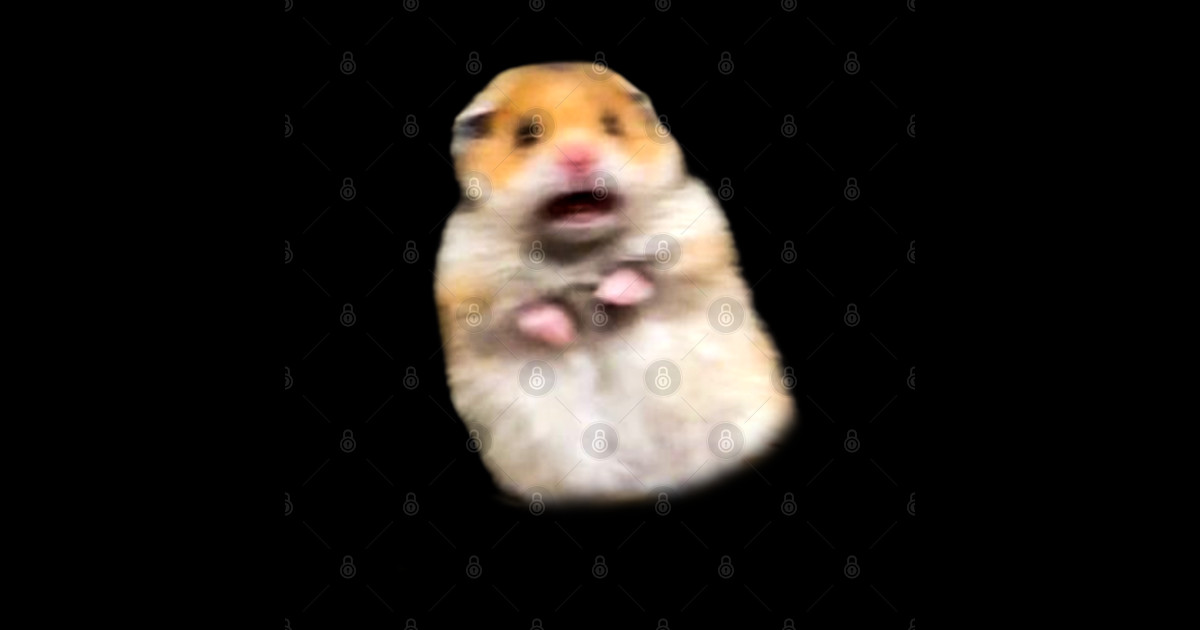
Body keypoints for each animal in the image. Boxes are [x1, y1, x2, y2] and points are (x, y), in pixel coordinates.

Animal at [433, 63, 796, 503]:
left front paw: (607, 294)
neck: (579, 248)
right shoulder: (466, 284)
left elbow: (644, 273)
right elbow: (526, 310)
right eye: (526, 134)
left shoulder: (695, 238)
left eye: (612, 126)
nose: (579, 157)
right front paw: (565, 330)